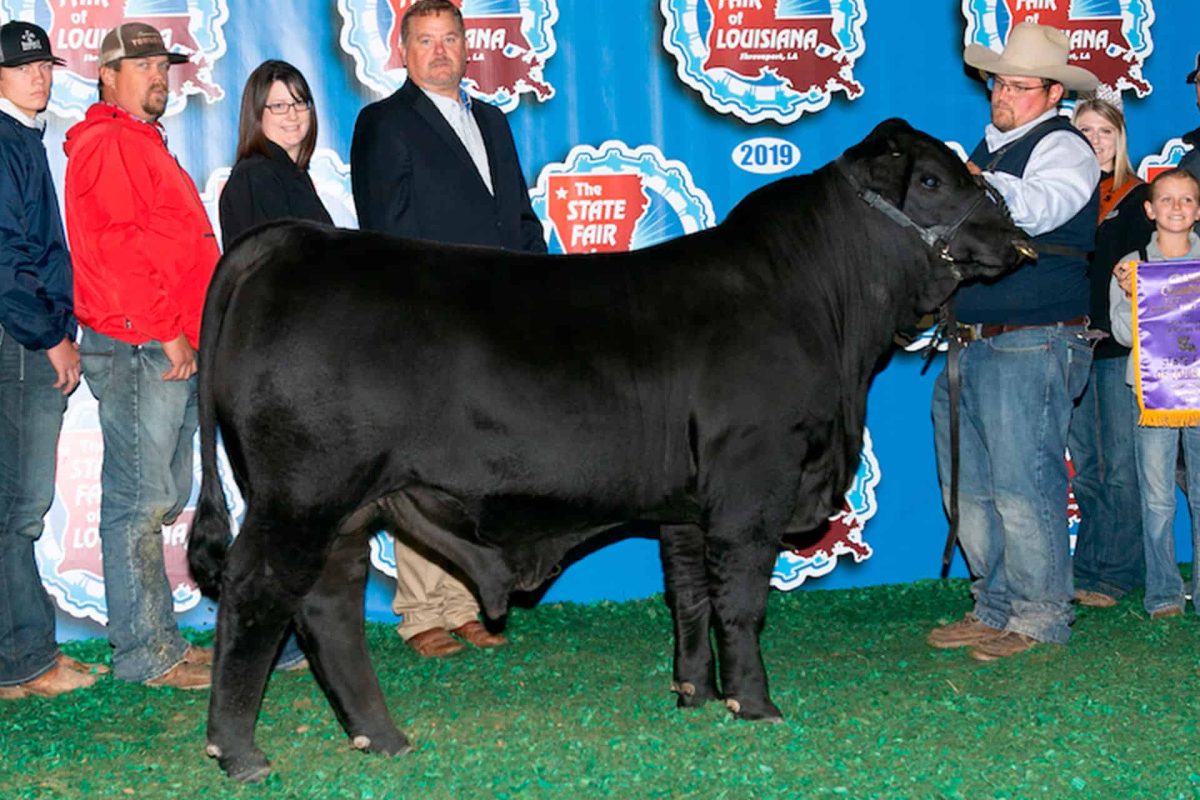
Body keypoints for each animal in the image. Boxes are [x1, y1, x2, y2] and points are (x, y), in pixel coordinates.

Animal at [187, 119, 1031, 781]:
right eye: (930, 179)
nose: (1013, 232)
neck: (826, 313)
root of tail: (297, 241)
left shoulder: (688, 506)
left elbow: (690, 597)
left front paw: (693, 694)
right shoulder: (753, 485)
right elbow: (742, 602)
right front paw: (753, 703)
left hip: (348, 508)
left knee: (327, 604)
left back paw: (382, 737)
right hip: (302, 493)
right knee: (258, 594)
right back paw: (239, 751)